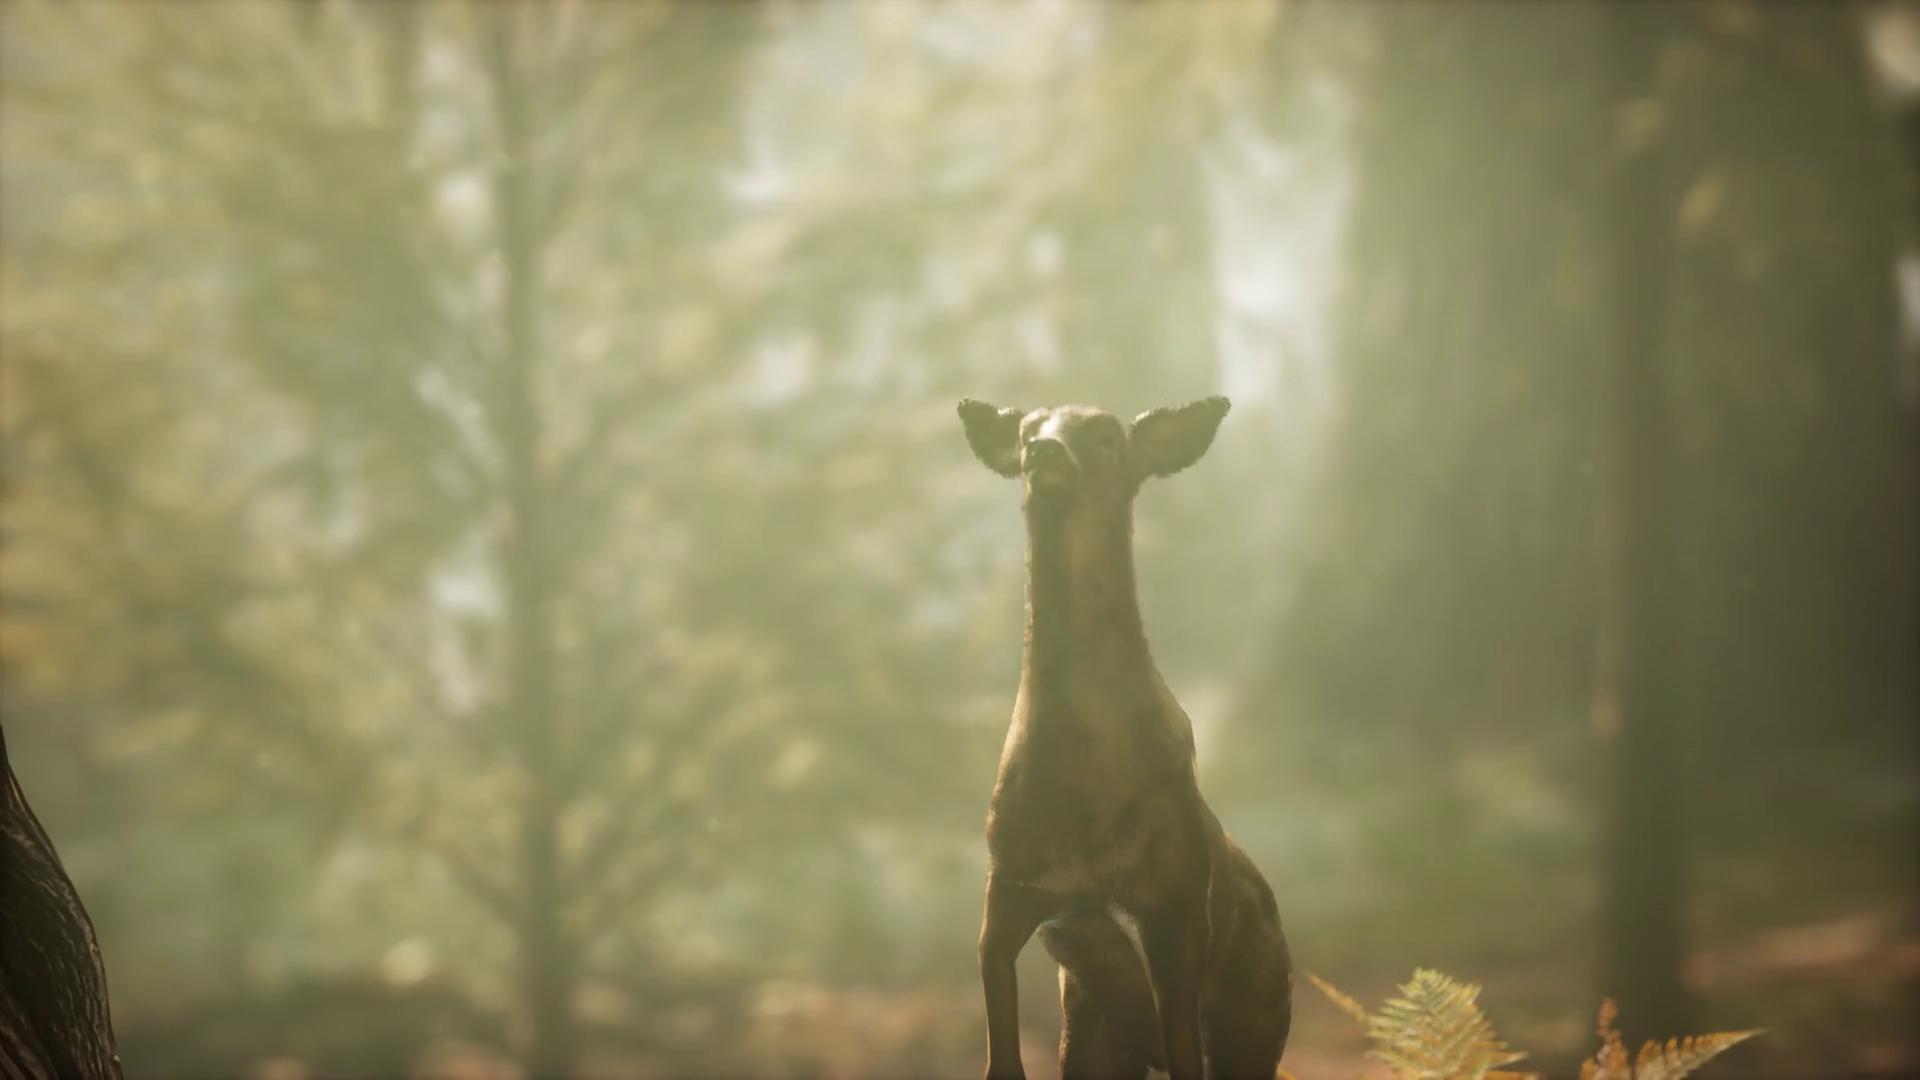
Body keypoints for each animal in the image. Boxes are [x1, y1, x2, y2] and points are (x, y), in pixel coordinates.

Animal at [958, 396, 1292, 1080]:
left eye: (1106, 436)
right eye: (1026, 430)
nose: (1045, 452)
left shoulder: (1174, 907)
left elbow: (1187, 1061)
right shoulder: (1008, 891)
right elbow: (1001, 1059)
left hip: (1256, 1017)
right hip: (1094, 1028)